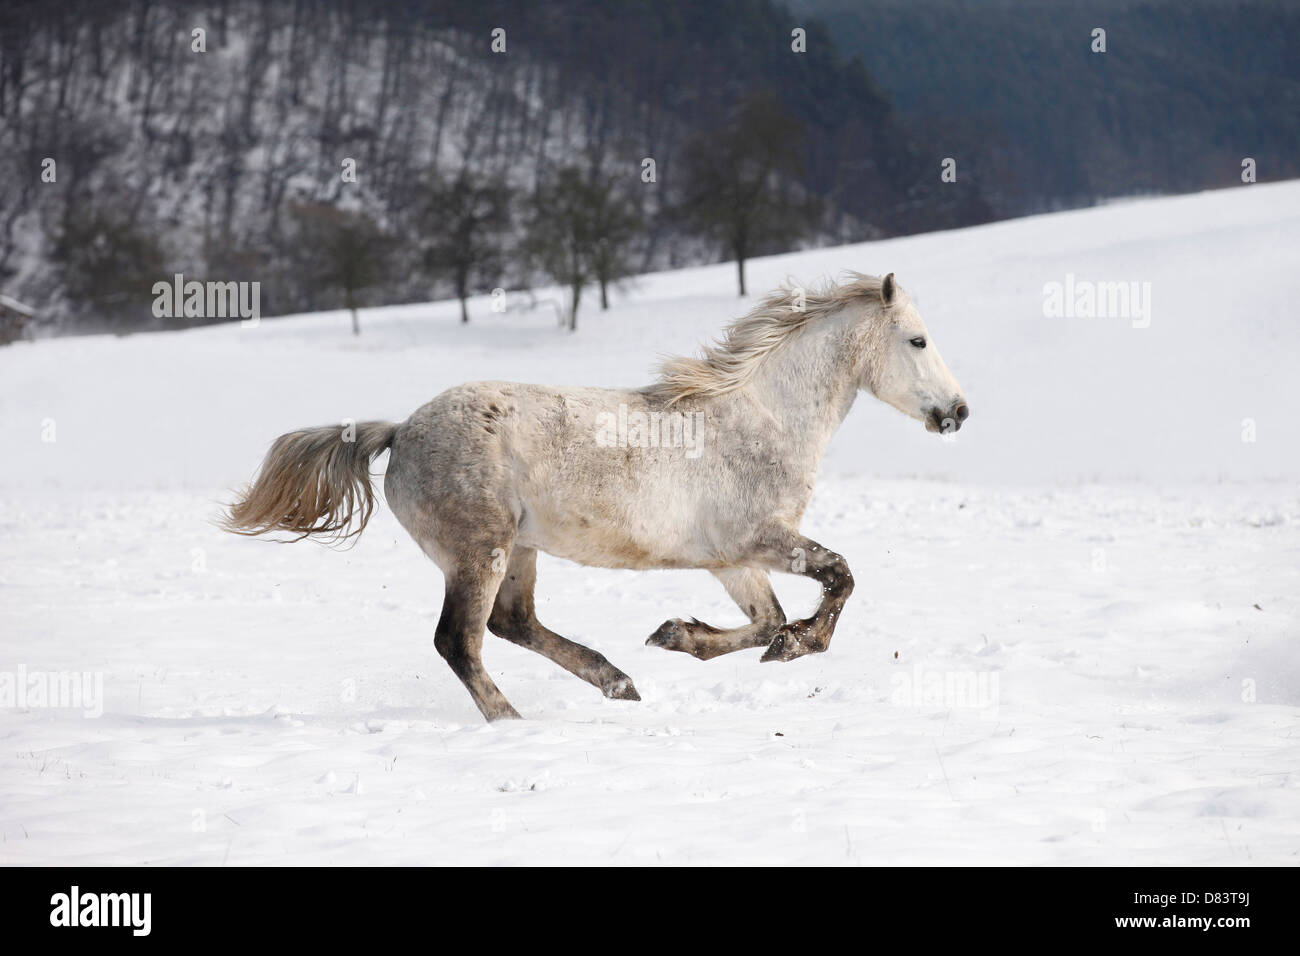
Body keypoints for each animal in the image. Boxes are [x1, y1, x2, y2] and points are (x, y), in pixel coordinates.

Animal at [223, 272, 969, 721]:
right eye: (917, 340)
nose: (958, 412)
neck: (761, 417)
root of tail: (401, 432)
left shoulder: (729, 559)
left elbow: (765, 619)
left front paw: (680, 636)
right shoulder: (758, 539)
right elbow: (839, 577)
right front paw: (797, 646)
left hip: (519, 550)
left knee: (513, 623)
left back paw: (618, 681)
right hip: (478, 550)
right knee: (459, 640)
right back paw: (512, 721)